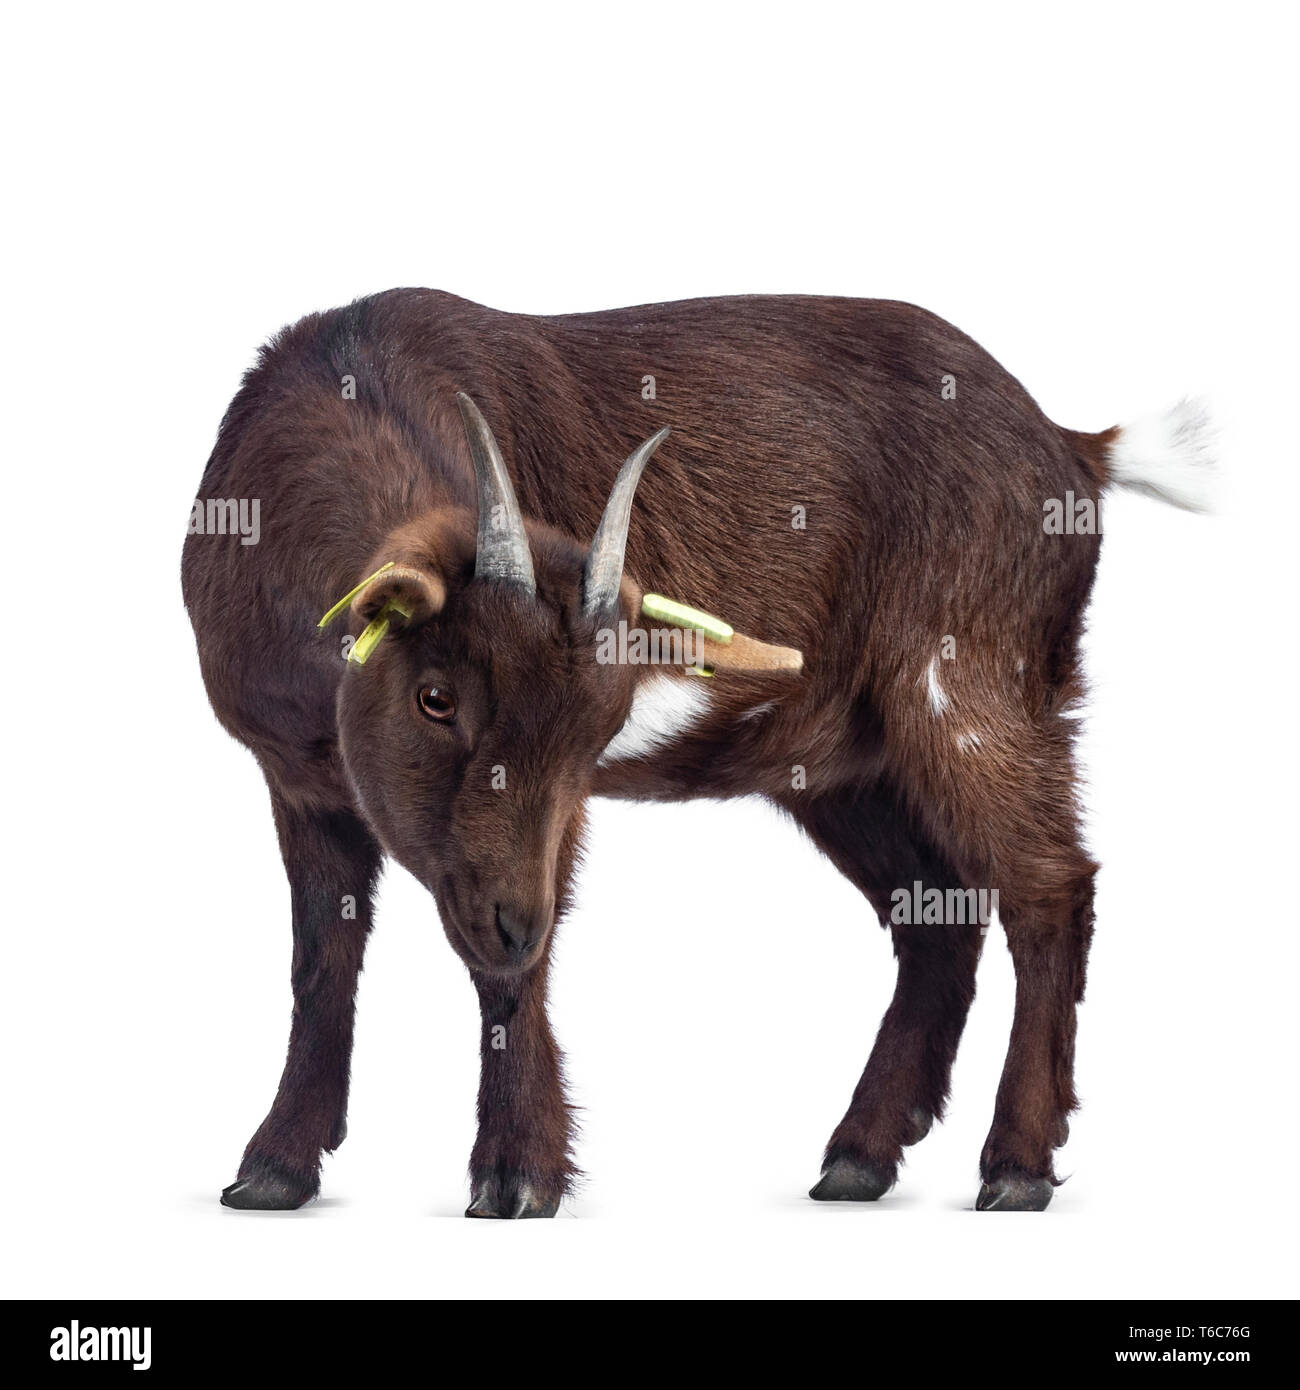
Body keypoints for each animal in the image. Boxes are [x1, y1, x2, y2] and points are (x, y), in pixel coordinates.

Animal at [182, 290, 1213, 1215]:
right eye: (436, 698)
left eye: (599, 730)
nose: (516, 921)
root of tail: (1073, 448)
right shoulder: (300, 782)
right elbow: (321, 959)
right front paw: (272, 1170)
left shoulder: (551, 825)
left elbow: (507, 979)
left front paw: (515, 1179)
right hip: (845, 768)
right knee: (936, 912)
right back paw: (859, 1159)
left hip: (970, 684)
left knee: (1050, 887)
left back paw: (1017, 1167)